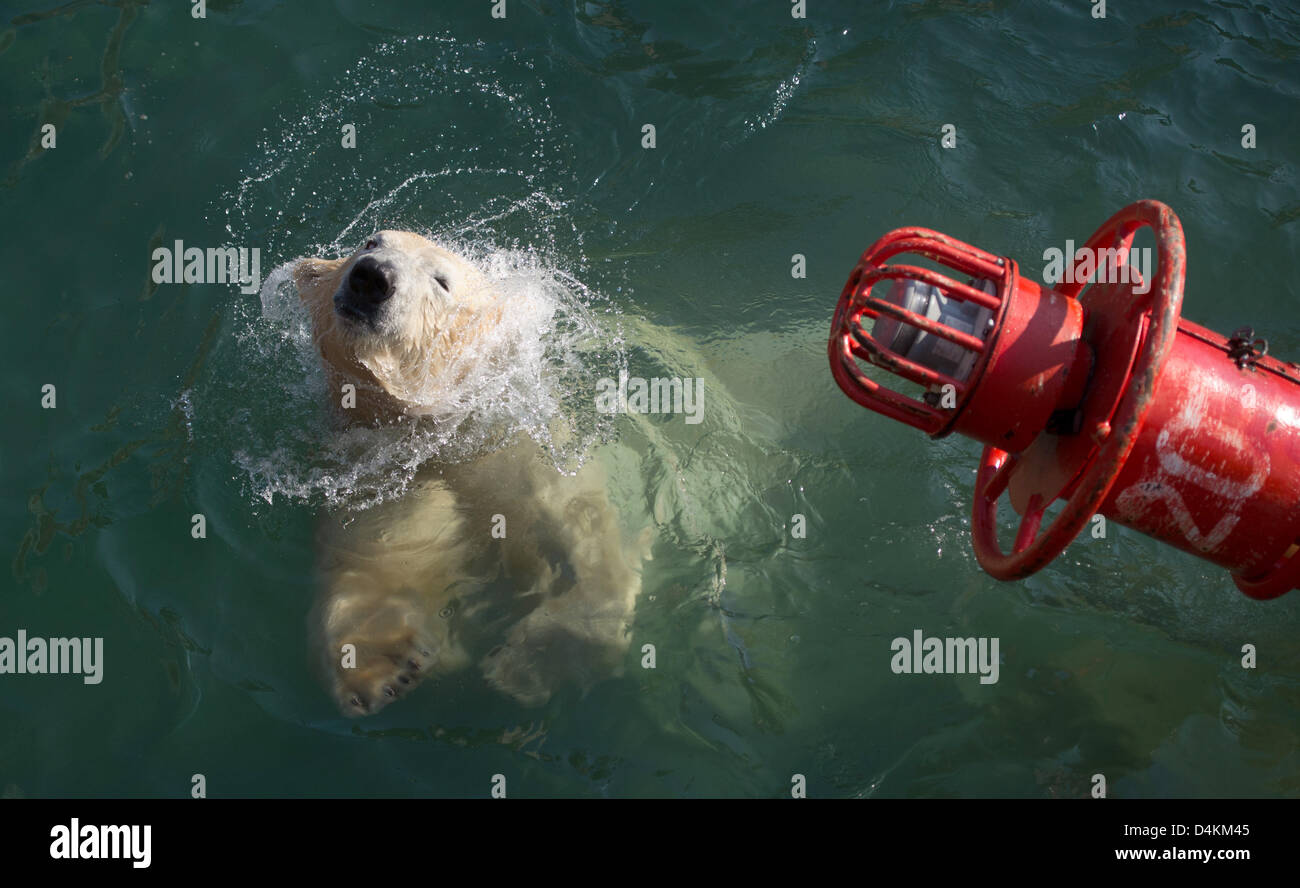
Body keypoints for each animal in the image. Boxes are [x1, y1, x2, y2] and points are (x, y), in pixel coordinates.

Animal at [293, 230, 644, 716]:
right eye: (371, 242)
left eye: (441, 281)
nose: (372, 277)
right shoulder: (389, 473)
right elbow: (382, 549)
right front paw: (379, 667)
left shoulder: (528, 455)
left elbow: (586, 538)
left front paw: (537, 660)